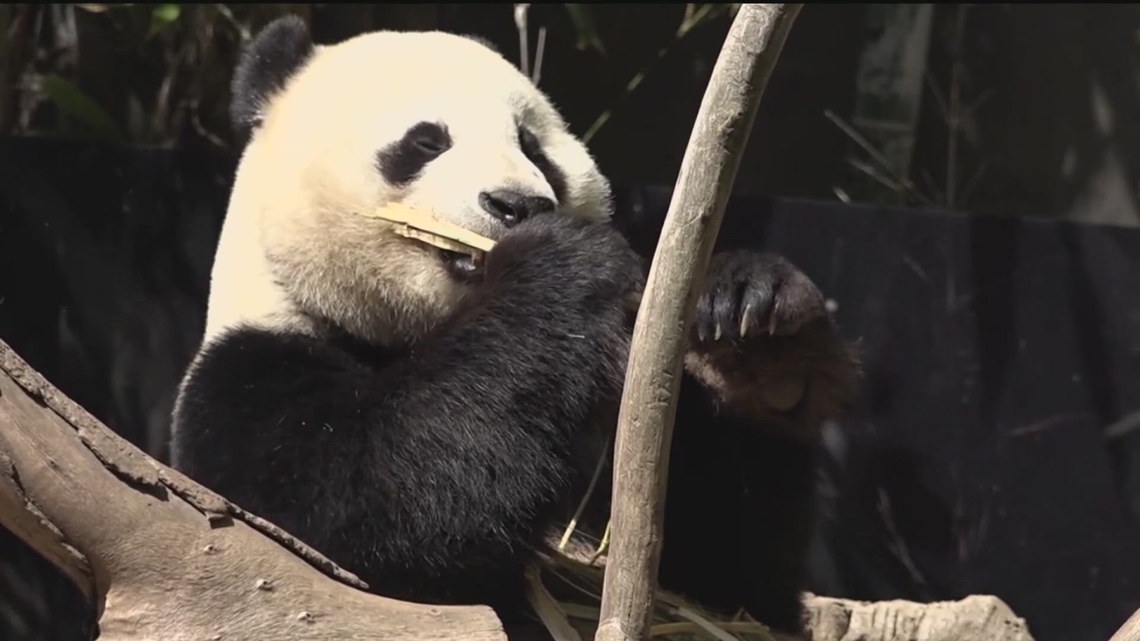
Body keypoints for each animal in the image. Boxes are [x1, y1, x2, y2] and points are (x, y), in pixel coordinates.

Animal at [169, 15, 860, 640]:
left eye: (533, 148)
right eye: (426, 142)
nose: (518, 205)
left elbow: (724, 583)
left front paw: (753, 334)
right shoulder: (248, 385)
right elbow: (379, 508)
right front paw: (563, 268)